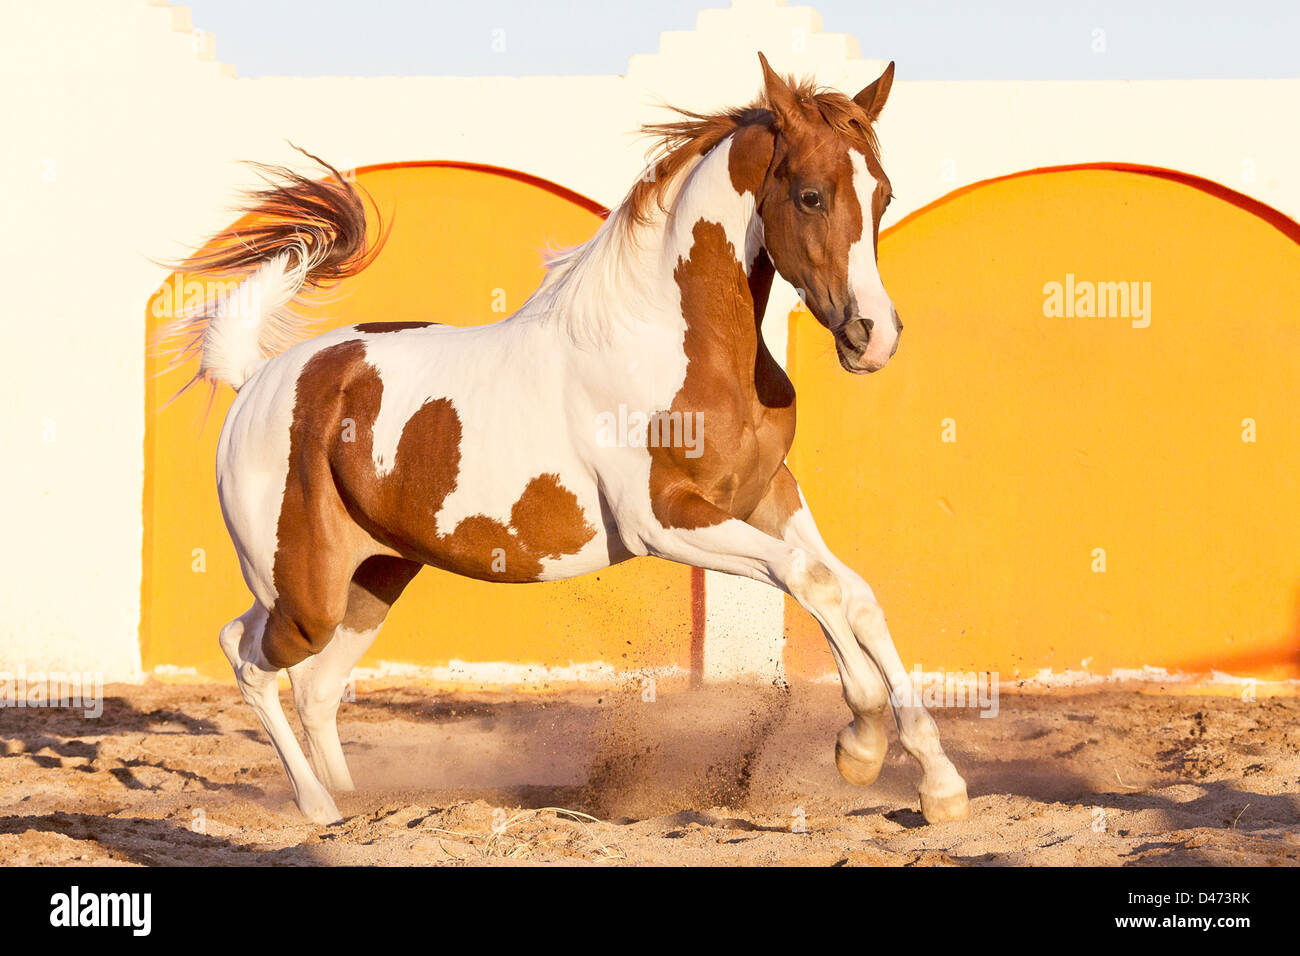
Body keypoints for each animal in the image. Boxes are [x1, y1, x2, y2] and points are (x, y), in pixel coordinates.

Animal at [159, 53, 970, 826]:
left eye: (884, 195)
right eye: (810, 195)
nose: (872, 337)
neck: (675, 342)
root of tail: (259, 381)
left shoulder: (765, 495)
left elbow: (854, 592)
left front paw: (940, 786)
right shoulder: (665, 521)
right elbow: (812, 579)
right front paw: (860, 745)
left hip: (371, 577)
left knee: (316, 685)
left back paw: (358, 809)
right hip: (304, 588)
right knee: (249, 656)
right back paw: (319, 809)